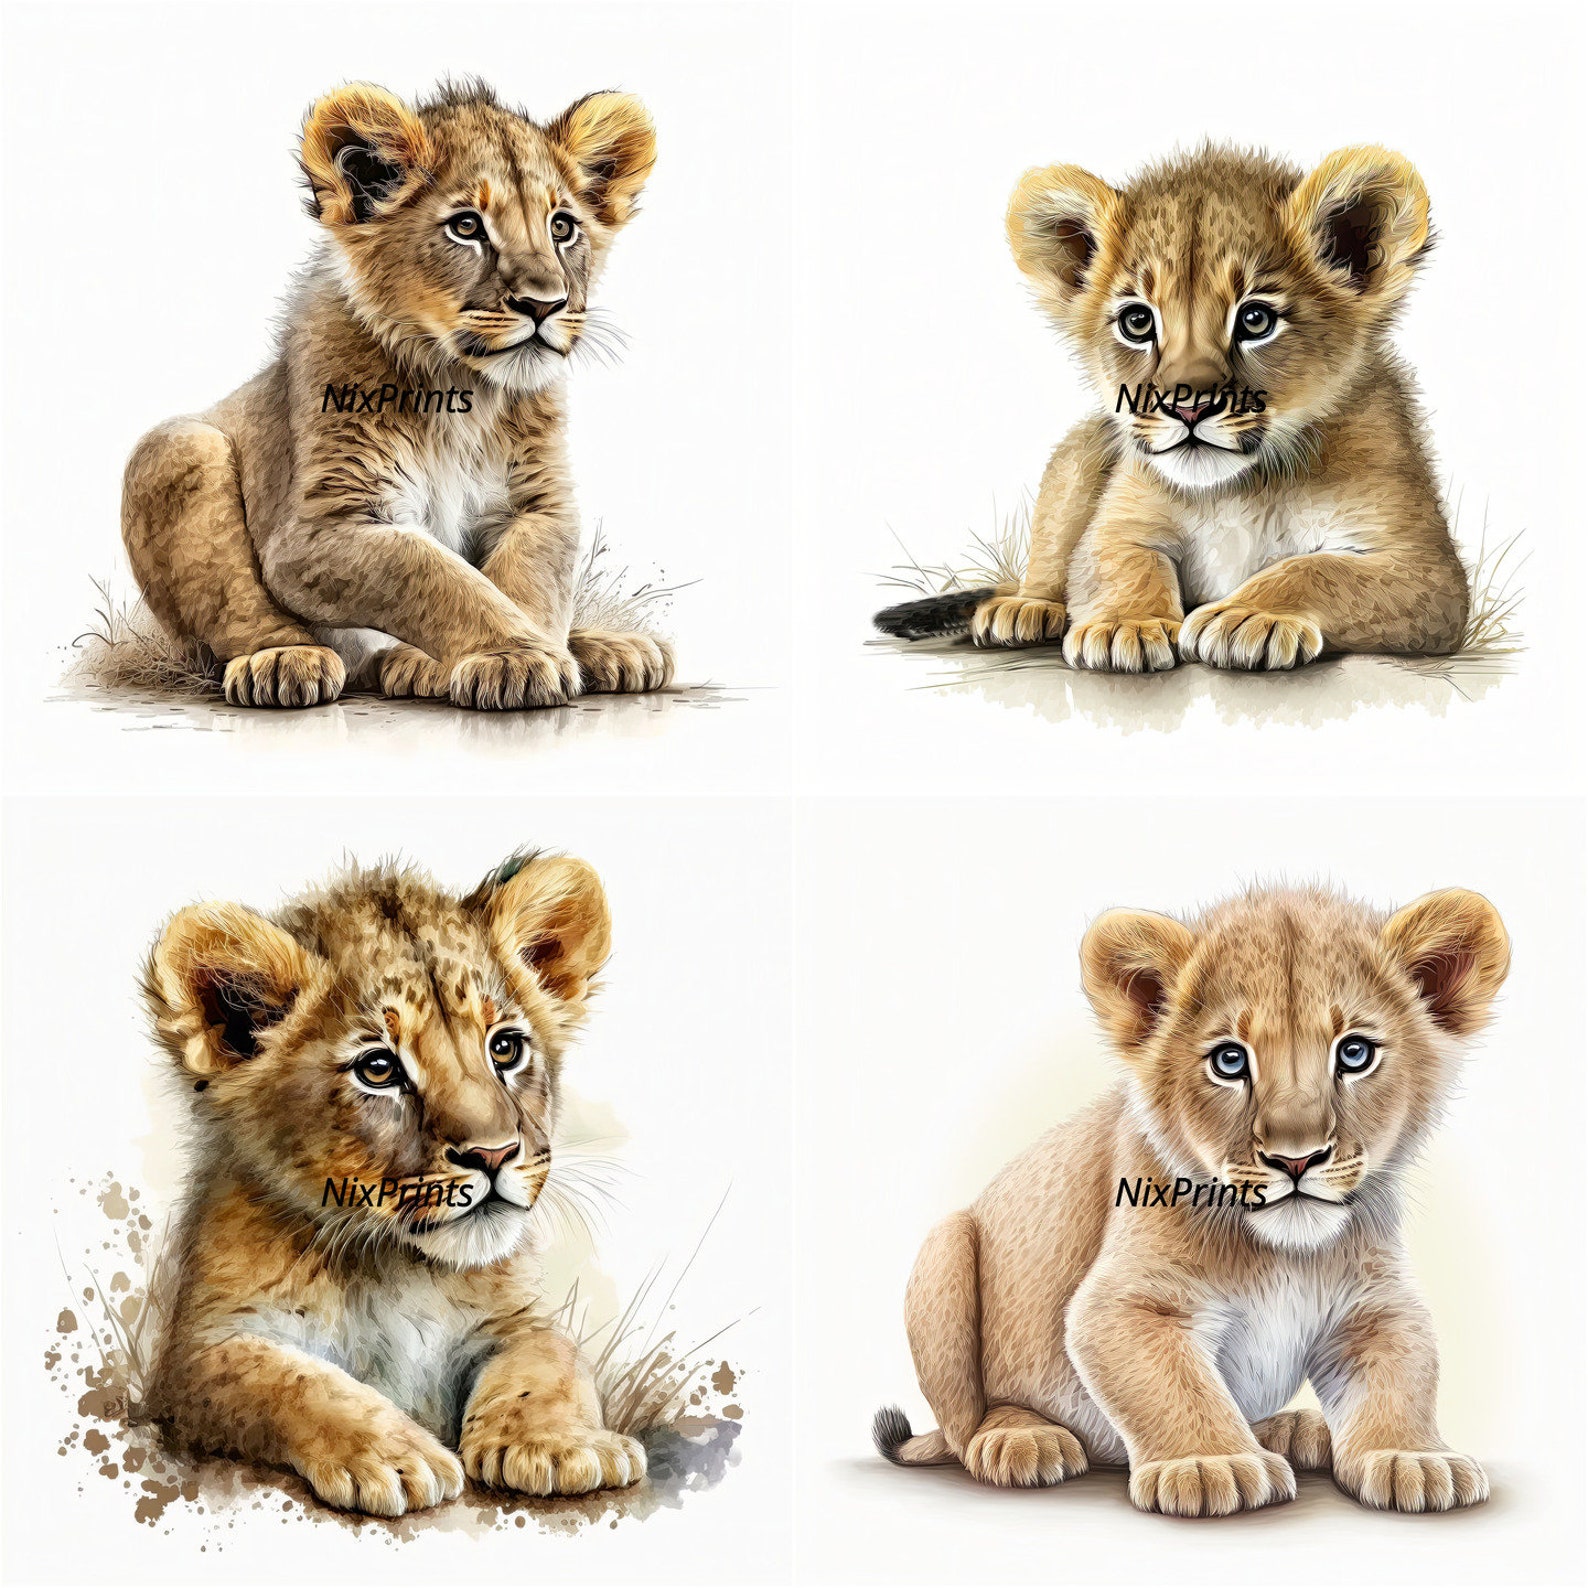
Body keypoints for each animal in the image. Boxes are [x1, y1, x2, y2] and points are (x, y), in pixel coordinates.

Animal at [122, 78, 673, 710]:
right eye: (466, 227)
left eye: (563, 228)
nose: (545, 305)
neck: (462, 389)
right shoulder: (319, 528)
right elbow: (433, 574)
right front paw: (515, 658)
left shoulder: (538, 504)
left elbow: (530, 582)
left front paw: (540, 654)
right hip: (177, 449)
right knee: (247, 614)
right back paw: (294, 659)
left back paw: (615, 650)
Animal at [139, 850, 645, 1516]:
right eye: (378, 1069)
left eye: (505, 1049)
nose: (494, 1153)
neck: (401, 1270)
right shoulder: (201, 1353)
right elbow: (293, 1381)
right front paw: (397, 1458)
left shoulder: (517, 1320)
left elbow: (549, 1361)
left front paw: (561, 1446)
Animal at [874, 144, 1469, 671]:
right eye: (1138, 322)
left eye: (1256, 319)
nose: (1186, 408)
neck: (1238, 489)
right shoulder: (1117, 526)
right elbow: (1122, 564)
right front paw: (1125, 628)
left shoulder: (1426, 570)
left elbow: (1318, 571)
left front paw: (1244, 617)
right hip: (1074, 460)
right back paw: (1026, 608)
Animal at [874, 884, 1510, 1517]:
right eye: (1229, 1061)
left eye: (1355, 1053)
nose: (1296, 1159)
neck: (1285, 1253)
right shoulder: (1125, 1303)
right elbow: (1176, 1386)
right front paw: (1210, 1464)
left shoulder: (1374, 1306)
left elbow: (1400, 1382)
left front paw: (1412, 1458)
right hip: (945, 1250)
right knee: (964, 1425)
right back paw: (1019, 1438)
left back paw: (1291, 1429)